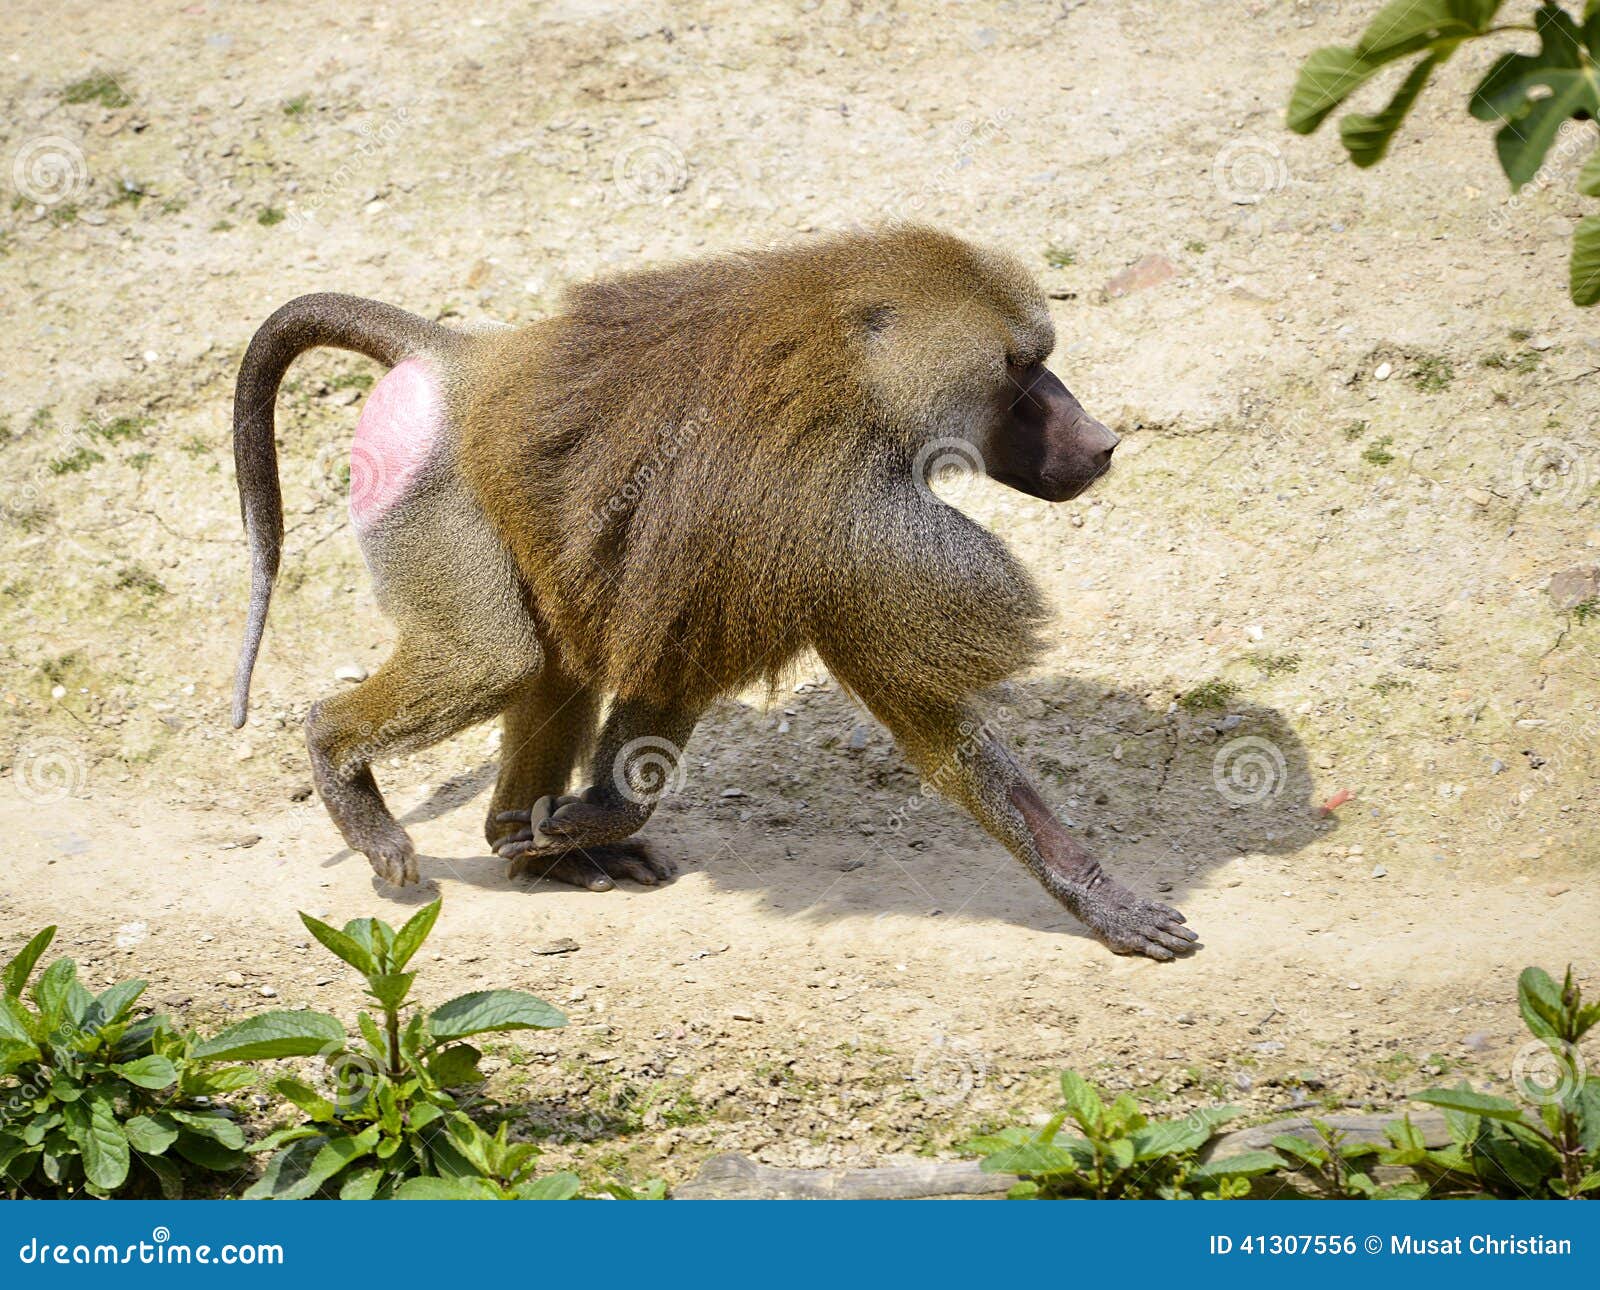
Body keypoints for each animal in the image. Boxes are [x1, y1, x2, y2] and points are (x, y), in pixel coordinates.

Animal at [229, 225, 1199, 961]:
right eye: (1021, 371)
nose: (1102, 442)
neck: (861, 378)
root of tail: (468, 359)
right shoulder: (844, 520)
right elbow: (707, 647)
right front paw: (598, 815)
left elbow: (931, 725)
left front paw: (1099, 897)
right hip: (431, 489)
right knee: (491, 658)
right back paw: (344, 768)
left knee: (545, 661)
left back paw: (522, 841)